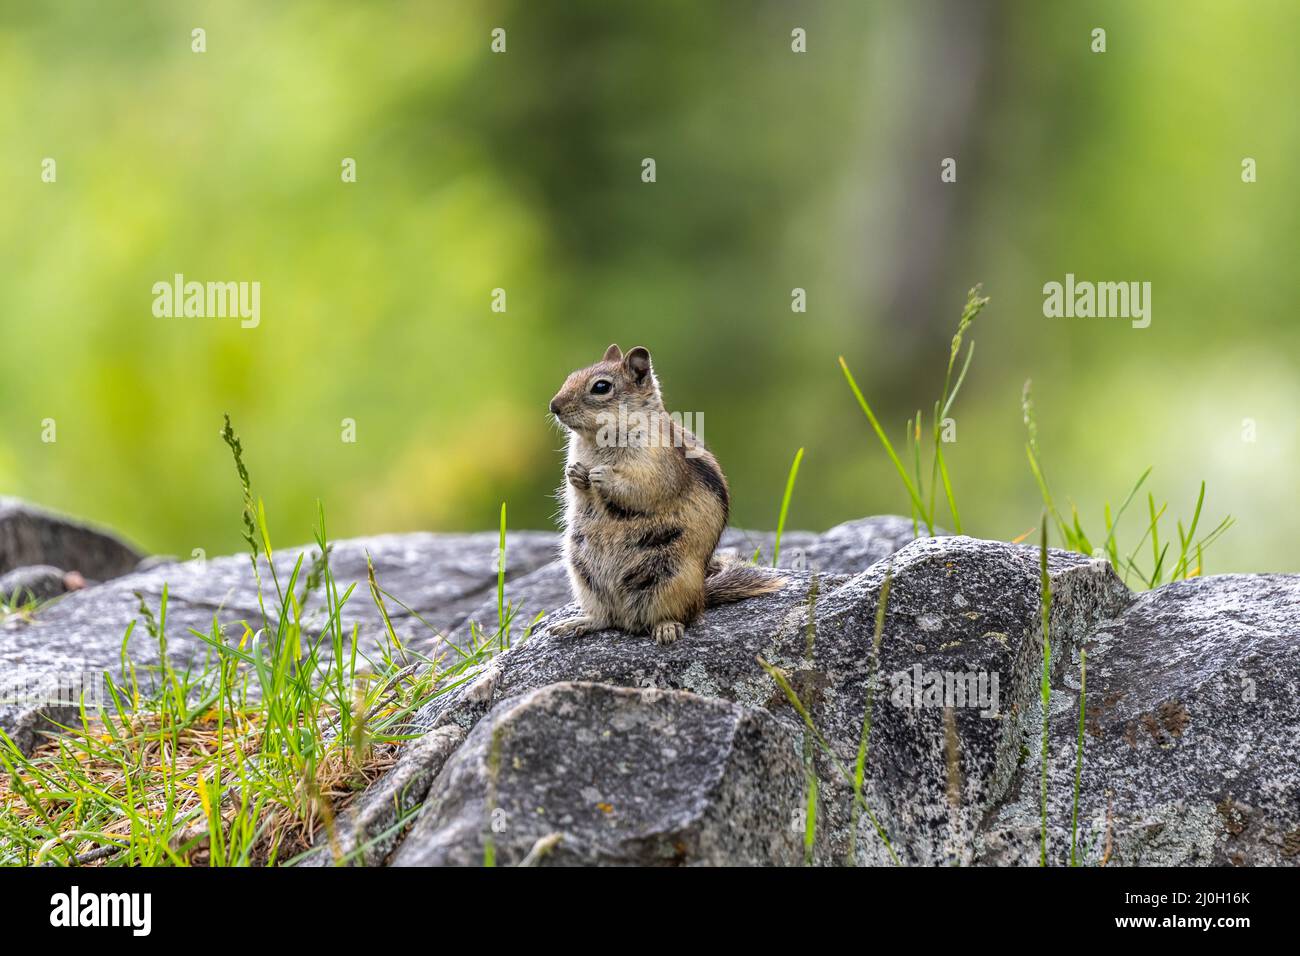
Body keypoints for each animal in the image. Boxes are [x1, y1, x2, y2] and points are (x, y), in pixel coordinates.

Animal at [547, 343, 784, 645]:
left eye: (601, 387)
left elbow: (643, 487)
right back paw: (578, 622)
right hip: (583, 575)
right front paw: (575, 473)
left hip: (672, 579)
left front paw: (602, 475)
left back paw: (666, 628)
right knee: (606, 617)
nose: (553, 406)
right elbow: (576, 490)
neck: (599, 440)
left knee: (677, 615)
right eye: (570, 377)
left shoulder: (657, 464)